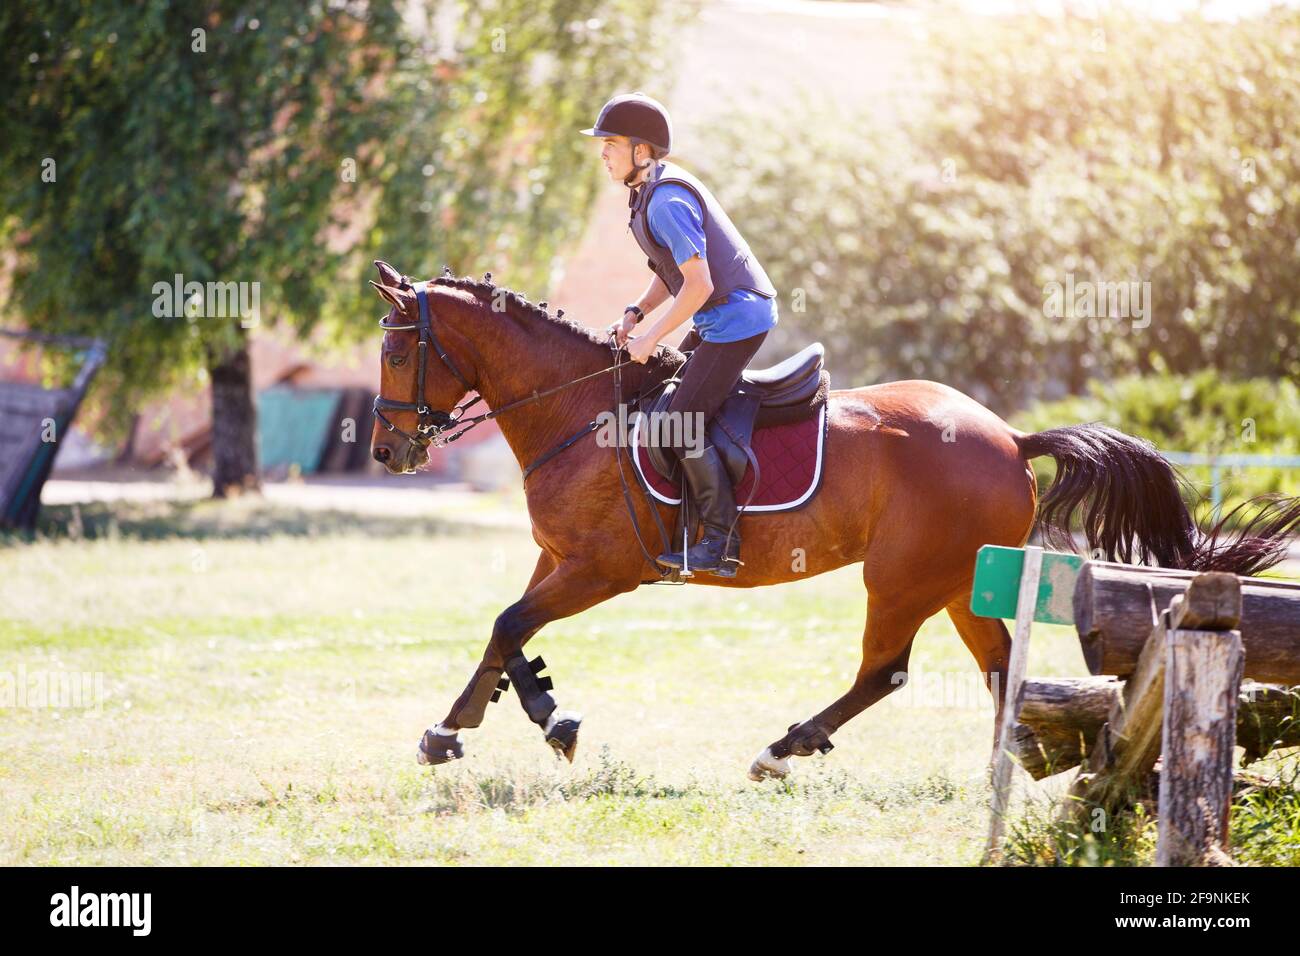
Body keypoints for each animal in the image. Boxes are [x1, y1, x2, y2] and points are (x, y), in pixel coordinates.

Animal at [367, 260, 1300, 780]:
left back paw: (783, 750)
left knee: (886, 672)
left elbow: (507, 623)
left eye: (398, 348)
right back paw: (1011, 761)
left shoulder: (603, 569)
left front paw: (488, 727)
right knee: (998, 670)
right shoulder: (558, 558)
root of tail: (1008, 434)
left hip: (902, 576)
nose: (386, 450)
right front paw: (503, 719)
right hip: (955, 579)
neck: (577, 408)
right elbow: (506, 633)